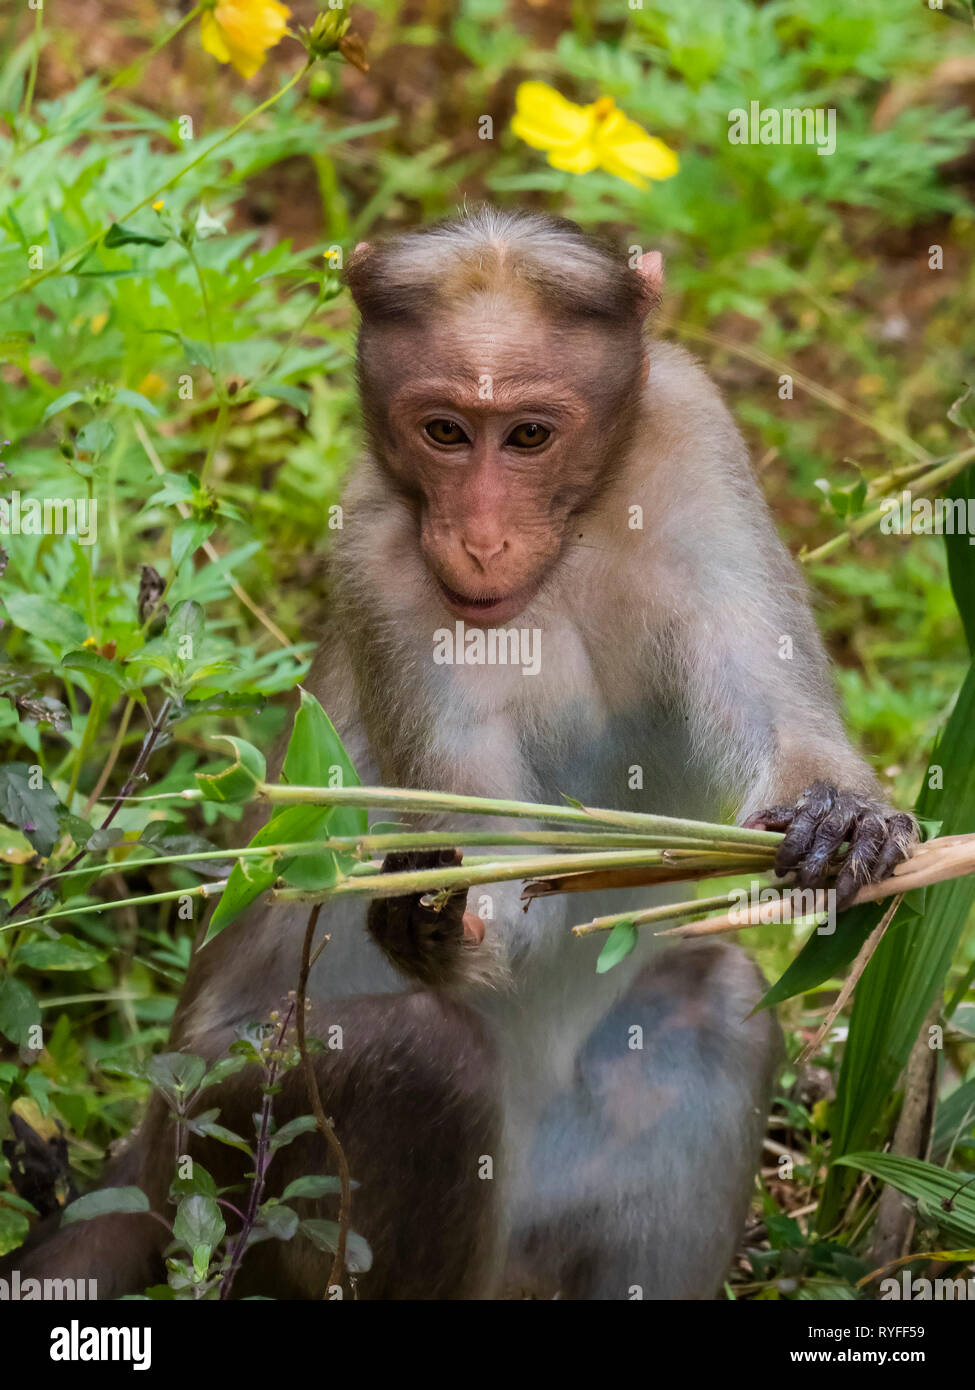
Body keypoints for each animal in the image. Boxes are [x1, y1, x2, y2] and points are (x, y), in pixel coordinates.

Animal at [4, 207, 916, 1300]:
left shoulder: (693, 438)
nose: (479, 540)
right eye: (445, 431)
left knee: (713, 1002)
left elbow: (778, 709)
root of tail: (143, 1149)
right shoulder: (381, 557)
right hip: (219, 1140)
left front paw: (841, 818)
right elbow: (497, 871)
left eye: (527, 435)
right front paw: (440, 918)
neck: (570, 546)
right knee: (431, 1057)